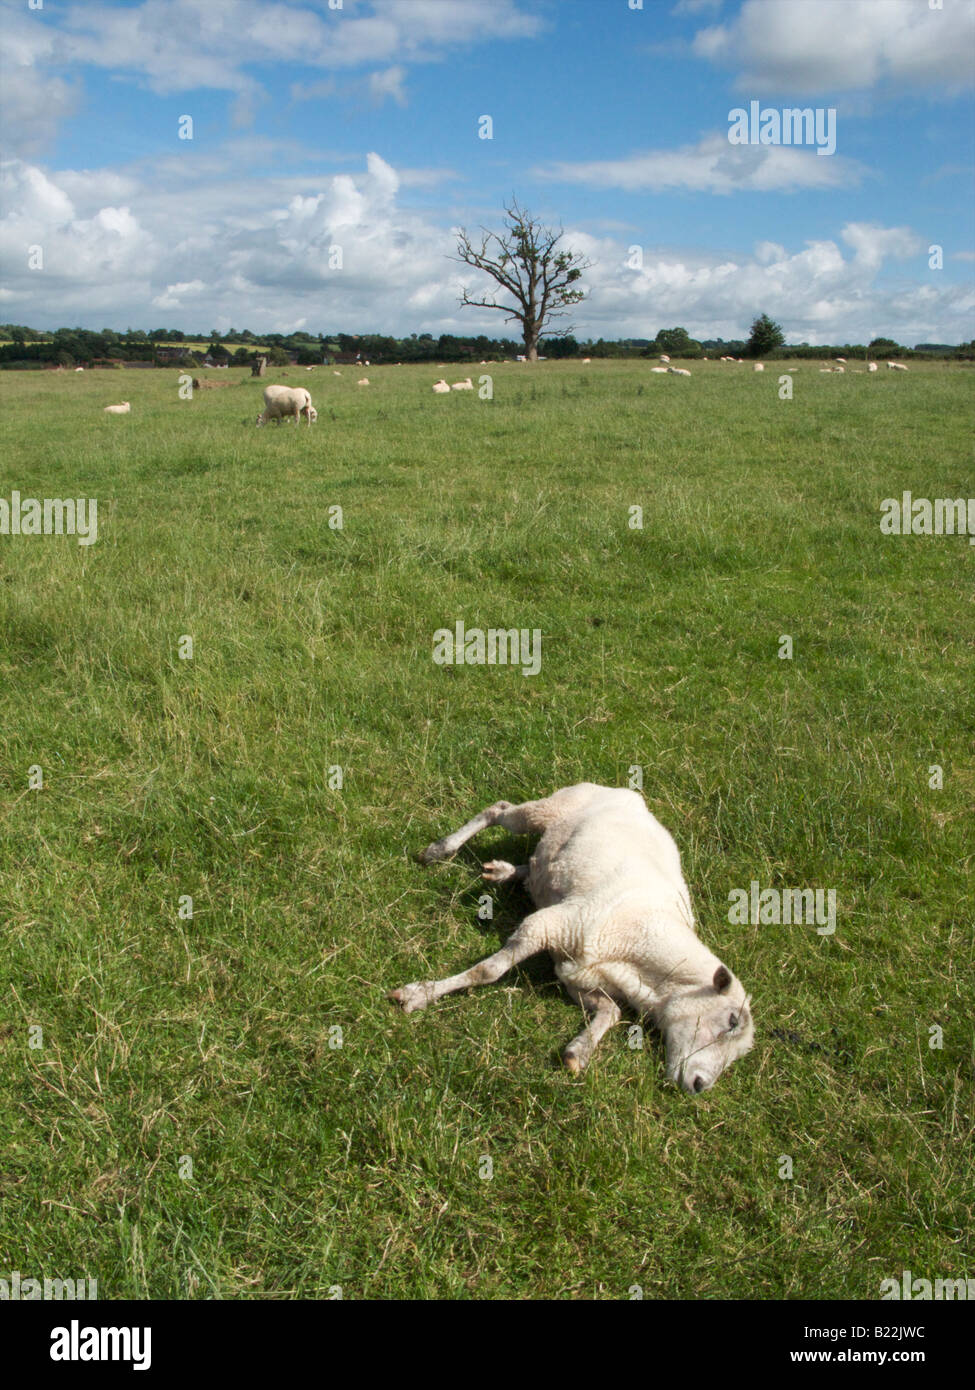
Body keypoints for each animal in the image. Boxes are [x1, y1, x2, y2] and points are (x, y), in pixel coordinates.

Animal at [390, 784, 755, 1093]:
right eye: (731, 1020)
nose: (700, 1086)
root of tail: (630, 795)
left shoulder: (577, 977)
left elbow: (611, 1012)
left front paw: (579, 1051)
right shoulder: (552, 924)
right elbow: (488, 971)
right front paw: (420, 995)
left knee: (532, 867)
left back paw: (504, 872)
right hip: (550, 808)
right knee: (500, 810)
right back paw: (439, 850)